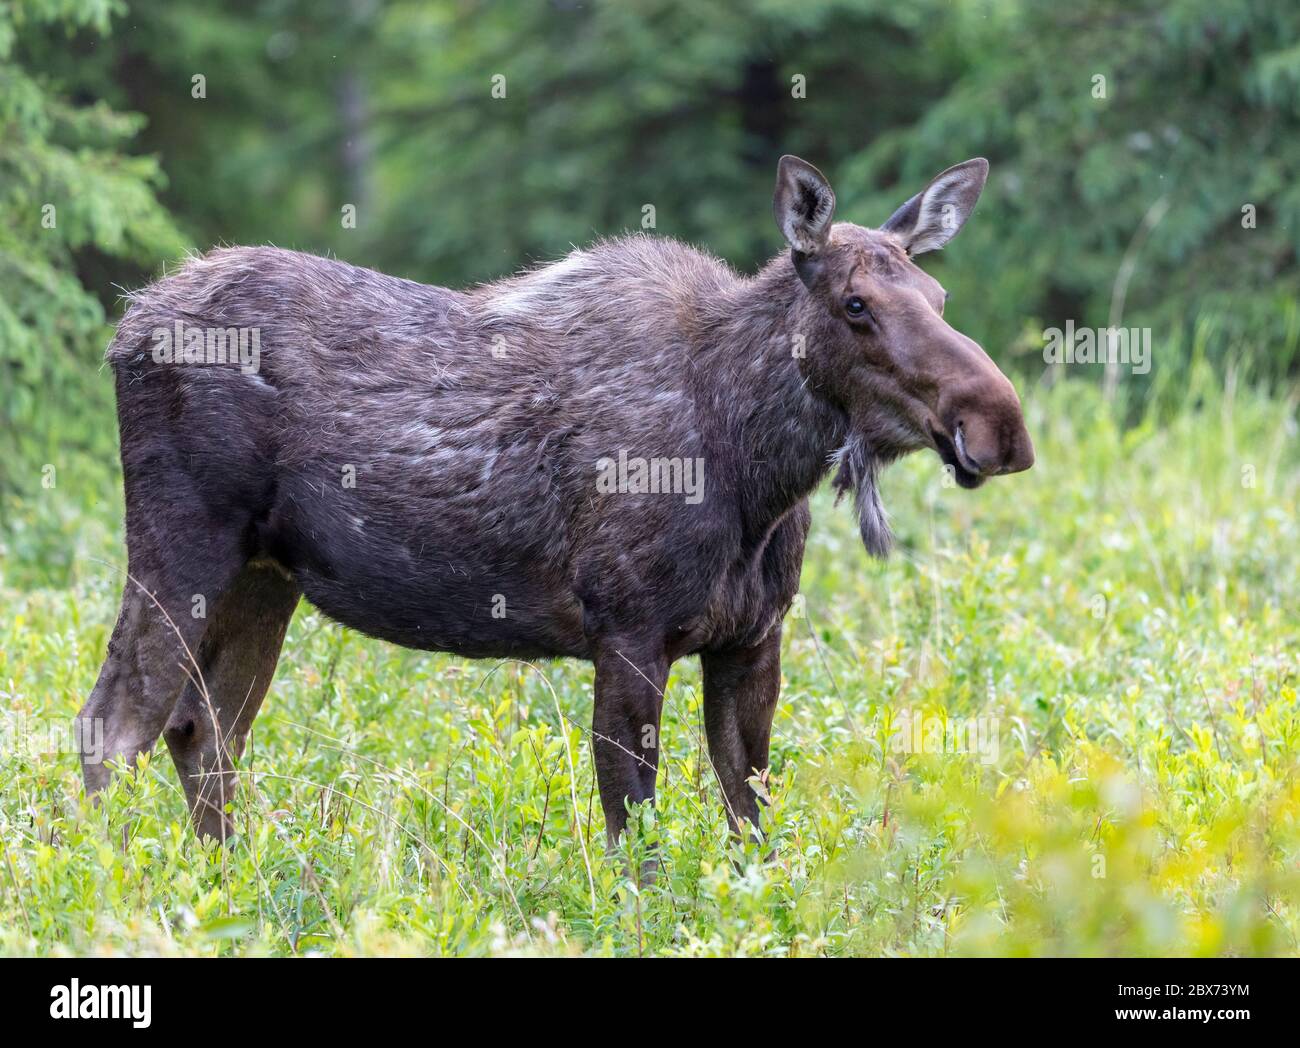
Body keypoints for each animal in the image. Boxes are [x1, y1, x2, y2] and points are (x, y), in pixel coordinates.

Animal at [79, 155, 1033, 848]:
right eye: (855, 303)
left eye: (939, 296)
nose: (1000, 425)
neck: (755, 467)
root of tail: (126, 325)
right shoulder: (629, 632)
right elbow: (635, 836)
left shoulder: (752, 638)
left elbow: (750, 823)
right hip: (178, 545)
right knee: (112, 725)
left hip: (265, 576)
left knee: (202, 732)